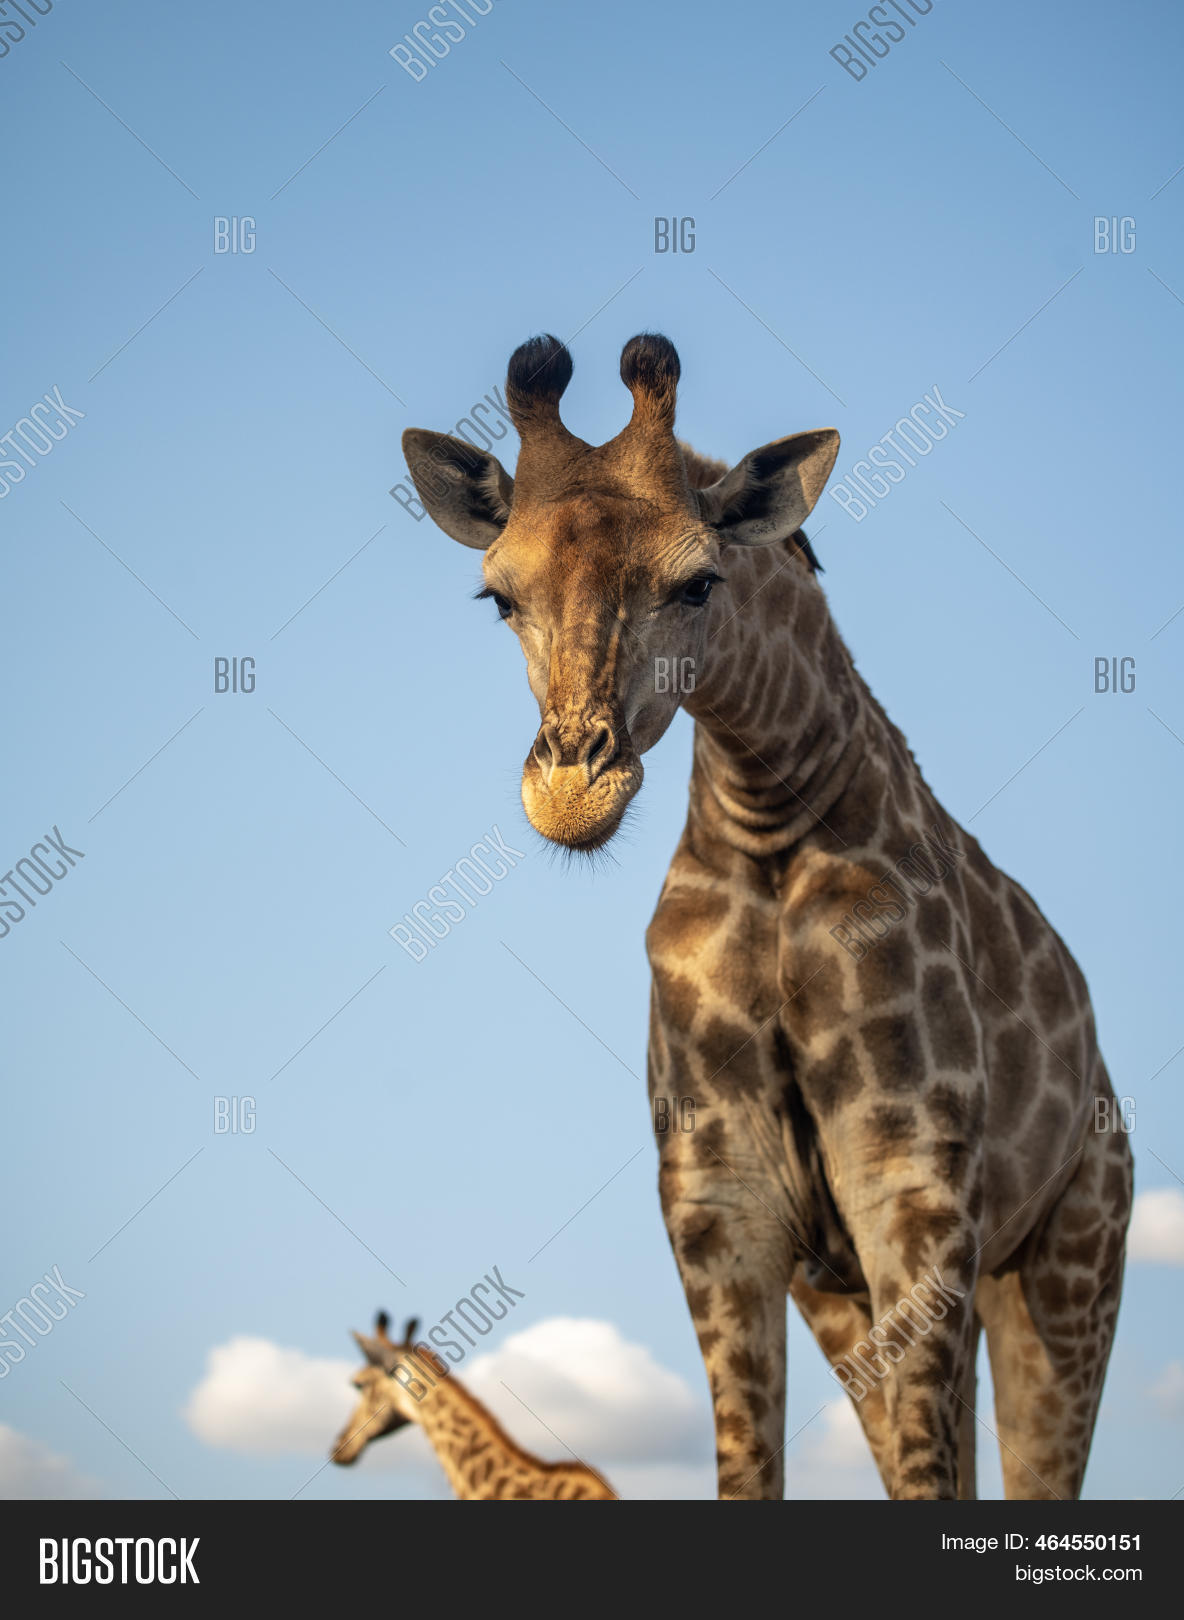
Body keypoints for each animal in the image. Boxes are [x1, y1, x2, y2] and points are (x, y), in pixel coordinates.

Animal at [400, 333, 1133, 1501]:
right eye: (498, 597)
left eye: (698, 581)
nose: (572, 794)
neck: (769, 824)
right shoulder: (718, 1202)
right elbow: (752, 1466)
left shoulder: (912, 1180)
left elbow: (928, 1473)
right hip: (850, 1291)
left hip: (1071, 1253)